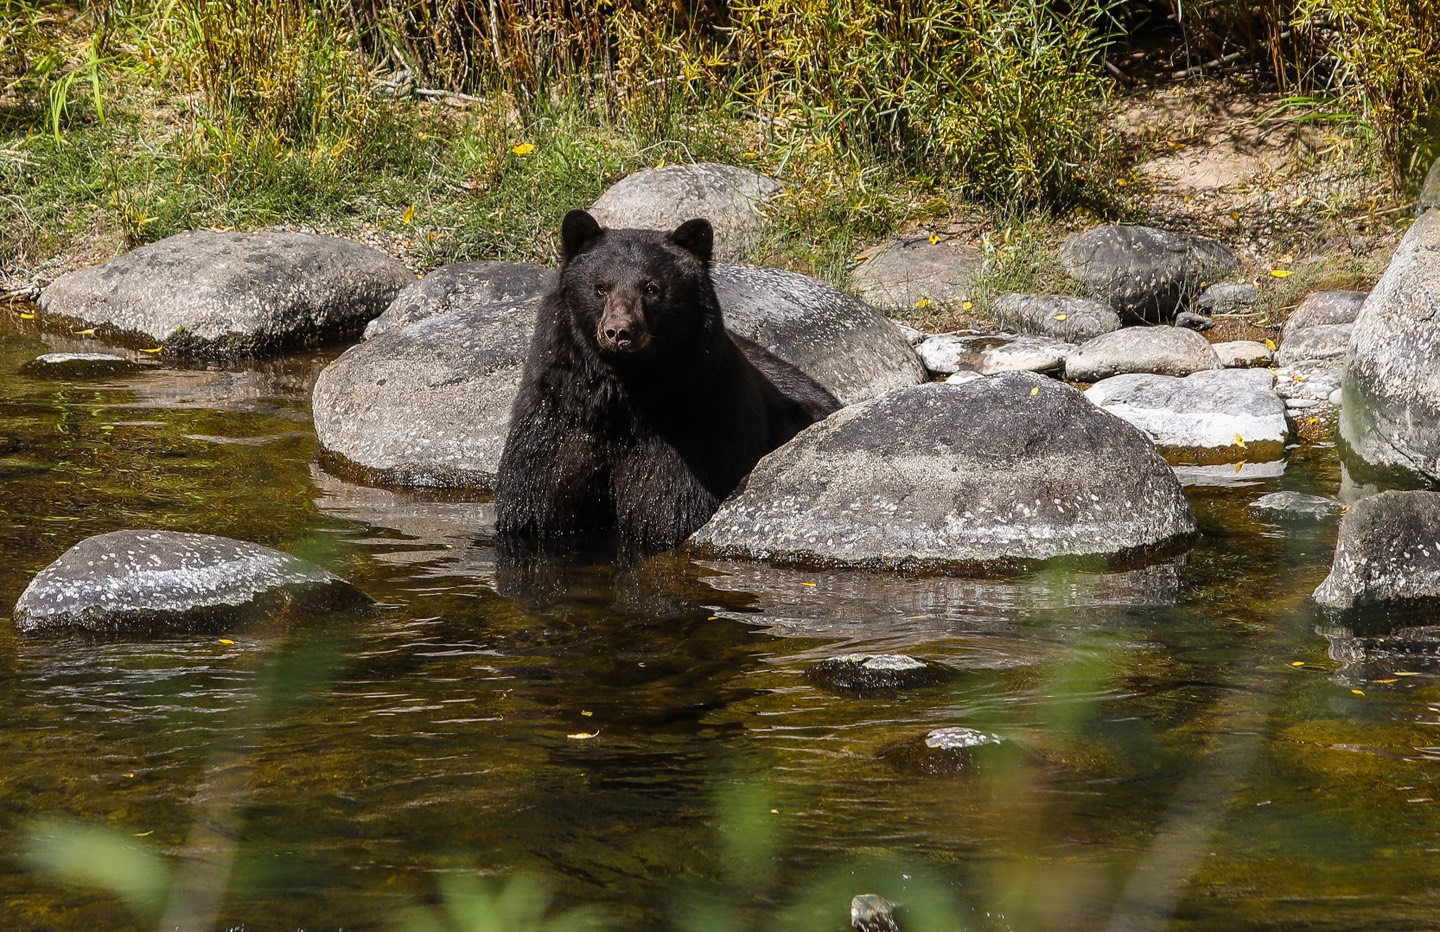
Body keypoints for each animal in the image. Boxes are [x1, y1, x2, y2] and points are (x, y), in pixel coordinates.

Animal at [494, 209, 840, 562]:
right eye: (600, 287)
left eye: (651, 287)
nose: (619, 331)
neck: (623, 396)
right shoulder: (559, 420)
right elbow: (536, 500)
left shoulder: (691, 427)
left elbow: (671, 505)